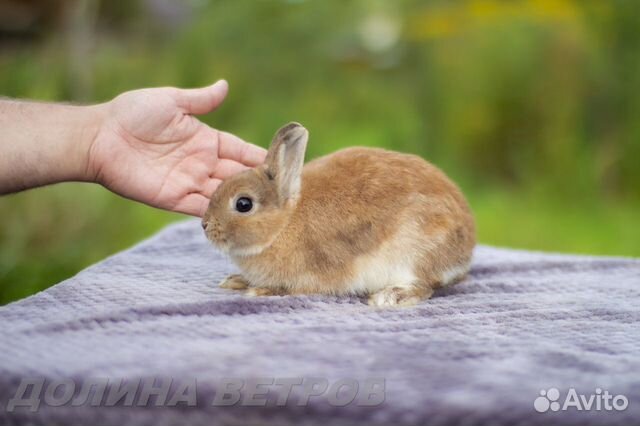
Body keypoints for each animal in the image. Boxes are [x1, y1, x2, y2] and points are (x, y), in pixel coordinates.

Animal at [202, 122, 475, 307]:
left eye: (243, 204)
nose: (205, 225)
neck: (284, 224)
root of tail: (466, 246)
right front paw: (236, 280)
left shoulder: (312, 274)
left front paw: (260, 292)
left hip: (414, 253)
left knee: (424, 286)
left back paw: (389, 296)